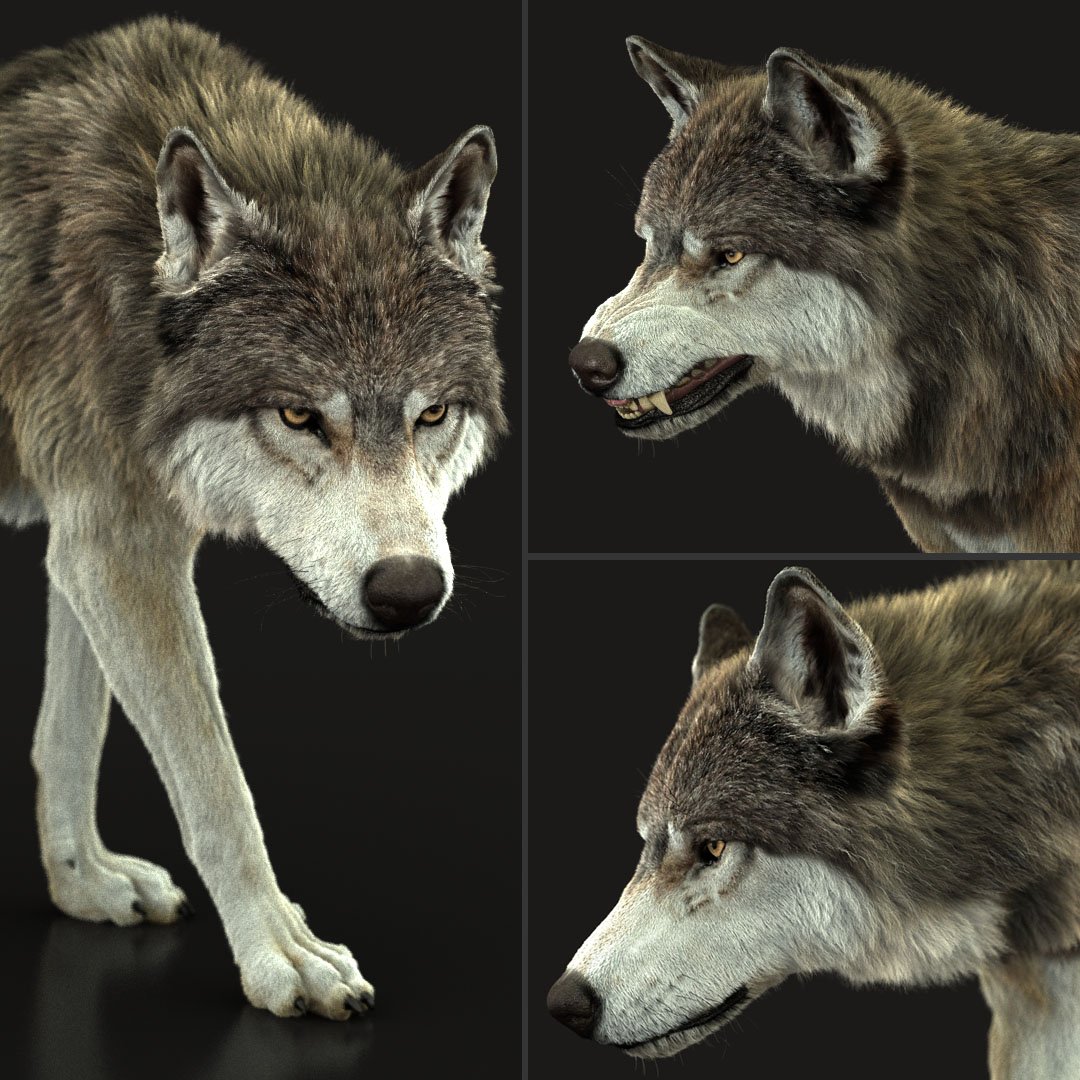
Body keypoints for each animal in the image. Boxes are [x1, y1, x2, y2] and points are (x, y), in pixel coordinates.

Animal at [0, 17, 505, 1019]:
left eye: (432, 414)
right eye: (300, 416)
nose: (409, 592)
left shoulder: (102, 536)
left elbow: (69, 735)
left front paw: (82, 883)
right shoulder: (118, 548)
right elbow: (218, 788)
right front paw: (280, 953)